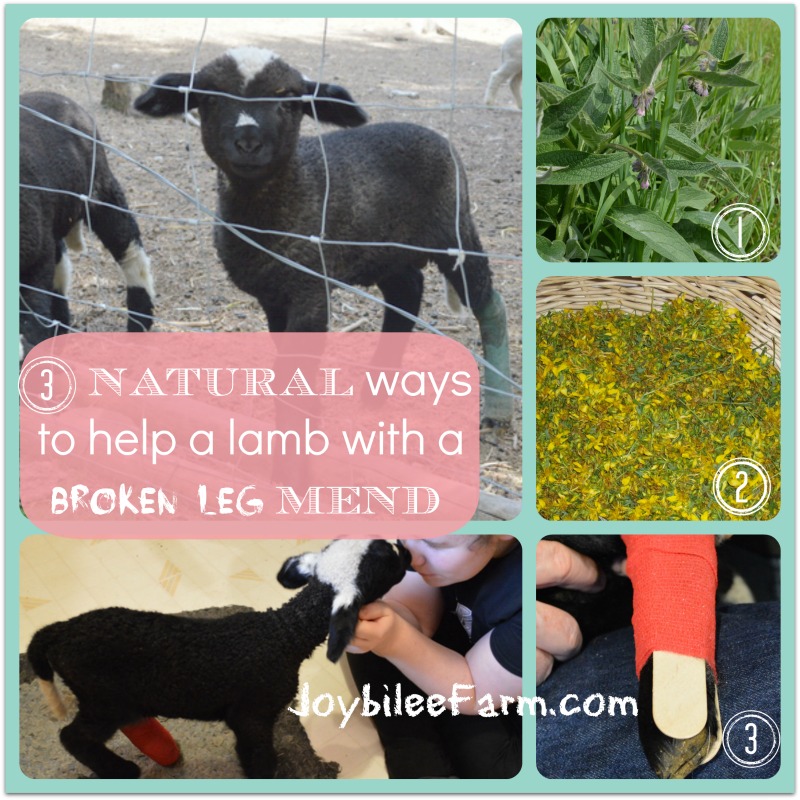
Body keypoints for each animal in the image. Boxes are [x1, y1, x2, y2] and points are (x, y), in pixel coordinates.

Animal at [19, 91, 155, 354]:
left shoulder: (35, 260)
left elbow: (33, 317)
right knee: (60, 269)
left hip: (101, 188)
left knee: (129, 245)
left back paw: (139, 323)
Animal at [27, 538, 409, 779]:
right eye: (388, 561)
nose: (405, 548)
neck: (285, 634)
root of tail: (59, 631)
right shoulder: (252, 714)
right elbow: (260, 757)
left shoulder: (246, 717)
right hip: (102, 697)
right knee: (72, 737)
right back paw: (121, 771)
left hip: (111, 696)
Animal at [133, 47, 512, 424]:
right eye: (209, 98)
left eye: (289, 101)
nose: (249, 142)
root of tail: (434, 134)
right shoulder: (273, 295)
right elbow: (288, 367)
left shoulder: (310, 288)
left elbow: (294, 370)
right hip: (384, 251)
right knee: (407, 292)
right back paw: (376, 392)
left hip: (454, 231)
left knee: (487, 301)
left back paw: (498, 406)